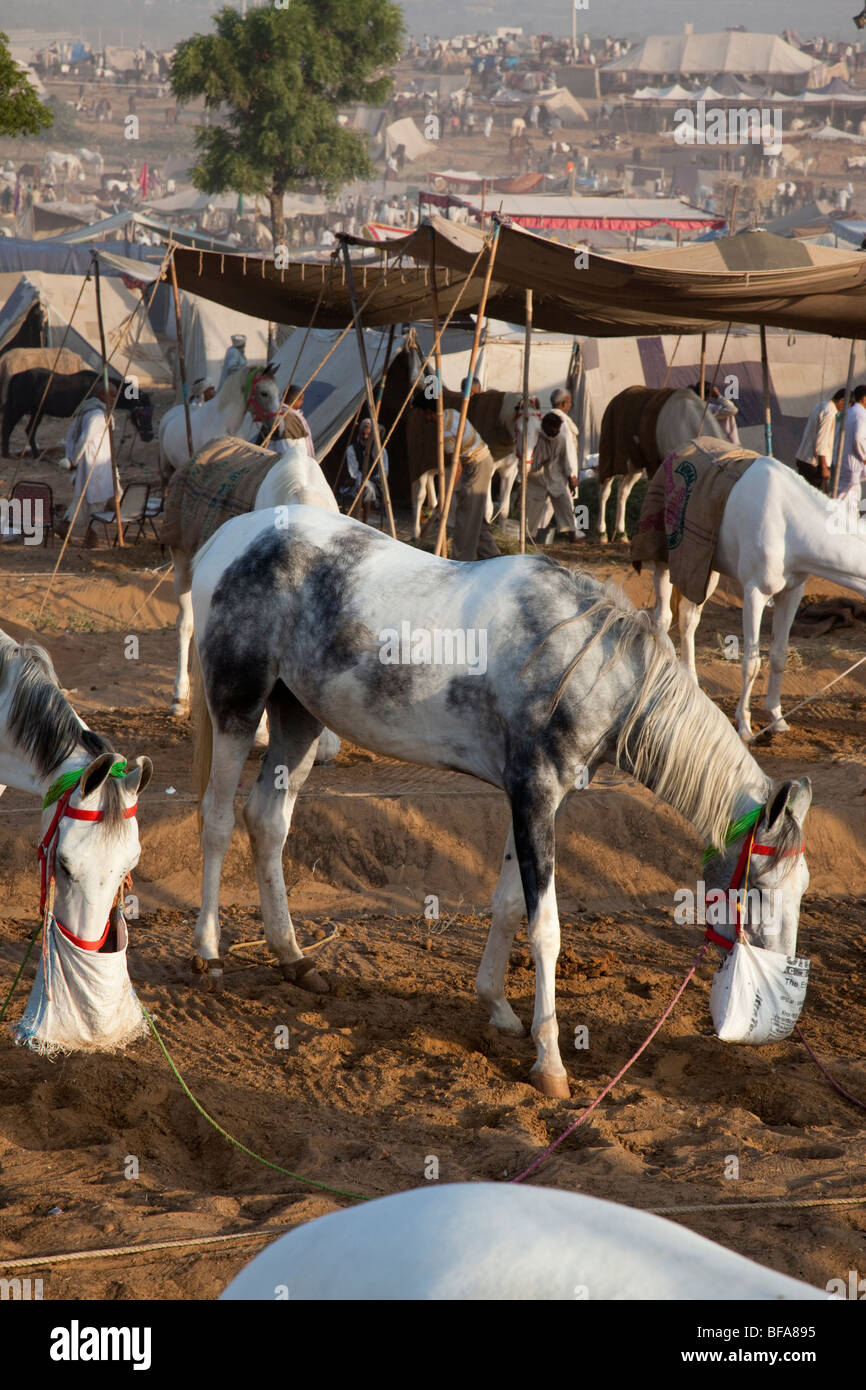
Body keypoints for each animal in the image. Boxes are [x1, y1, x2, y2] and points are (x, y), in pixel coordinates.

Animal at [1, 369, 154, 458]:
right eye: (141, 414)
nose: (150, 436)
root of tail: (17, 375)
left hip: (37, 411)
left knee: (29, 430)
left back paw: (37, 455)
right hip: (19, 408)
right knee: (8, 427)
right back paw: (7, 454)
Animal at [188, 505, 811, 1096]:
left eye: (802, 888)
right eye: (758, 884)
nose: (783, 983)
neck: (586, 665)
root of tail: (228, 538)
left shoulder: (537, 800)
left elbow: (510, 904)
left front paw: (498, 1007)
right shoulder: (533, 794)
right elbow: (545, 930)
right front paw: (551, 1062)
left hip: (297, 714)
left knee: (268, 823)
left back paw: (294, 959)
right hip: (238, 706)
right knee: (217, 821)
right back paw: (209, 955)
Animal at [596, 386, 726, 542]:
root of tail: (616, 399)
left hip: (634, 465)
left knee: (623, 490)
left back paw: (621, 533)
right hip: (609, 459)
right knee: (604, 491)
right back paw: (601, 533)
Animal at [650, 453, 866, 741]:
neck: (789, 525)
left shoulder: (792, 592)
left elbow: (778, 655)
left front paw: (776, 718)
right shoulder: (754, 593)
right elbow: (751, 662)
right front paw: (744, 726)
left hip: (706, 569)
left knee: (688, 620)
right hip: (663, 558)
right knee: (662, 619)